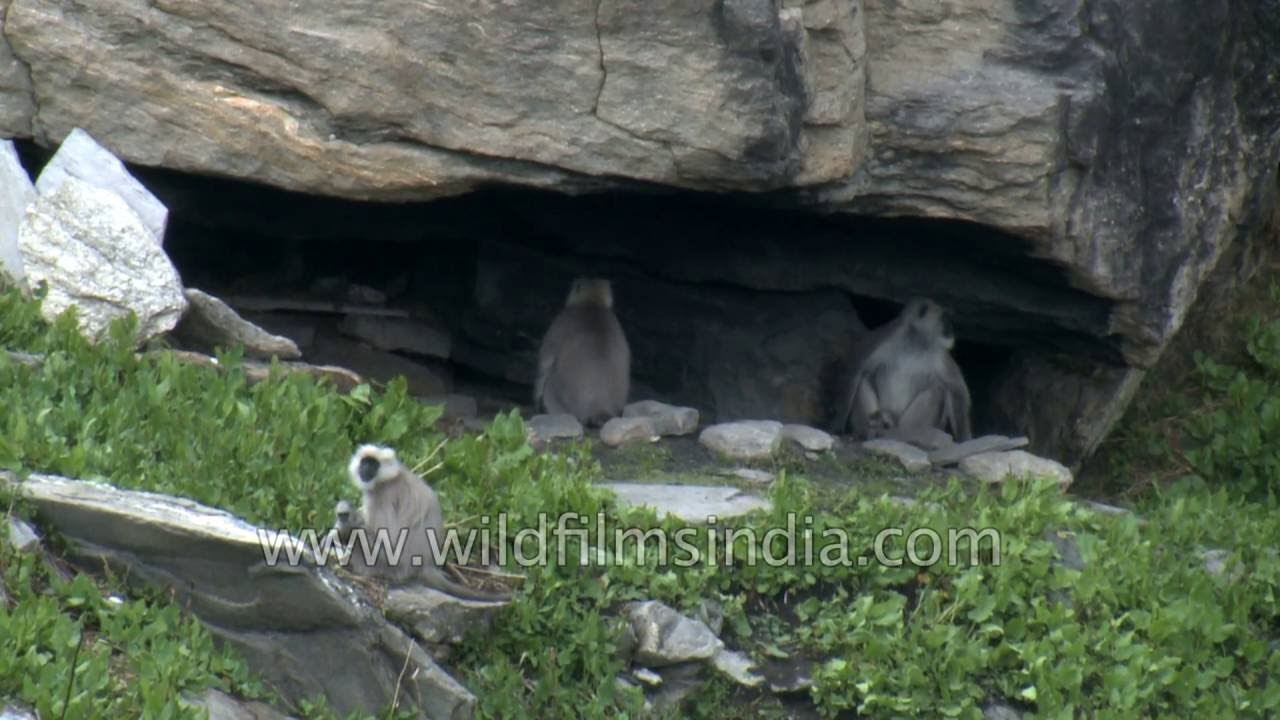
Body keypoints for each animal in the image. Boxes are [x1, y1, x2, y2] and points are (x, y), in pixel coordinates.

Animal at [331, 444, 511, 602]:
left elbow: (386, 539)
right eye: (364, 462)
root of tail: (425, 566)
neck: (388, 478)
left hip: (388, 568)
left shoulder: (381, 496)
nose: (365, 469)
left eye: (372, 464)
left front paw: (343, 525)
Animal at [833, 297, 972, 443]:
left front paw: (964, 439)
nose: (951, 331)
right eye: (945, 319)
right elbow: (855, 368)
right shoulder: (885, 338)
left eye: (948, 319)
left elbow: (957, 390)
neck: (915, 343)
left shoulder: (940, 356)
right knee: (864, 378)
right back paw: (872, 428)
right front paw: (837, 425)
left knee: (936, 388)